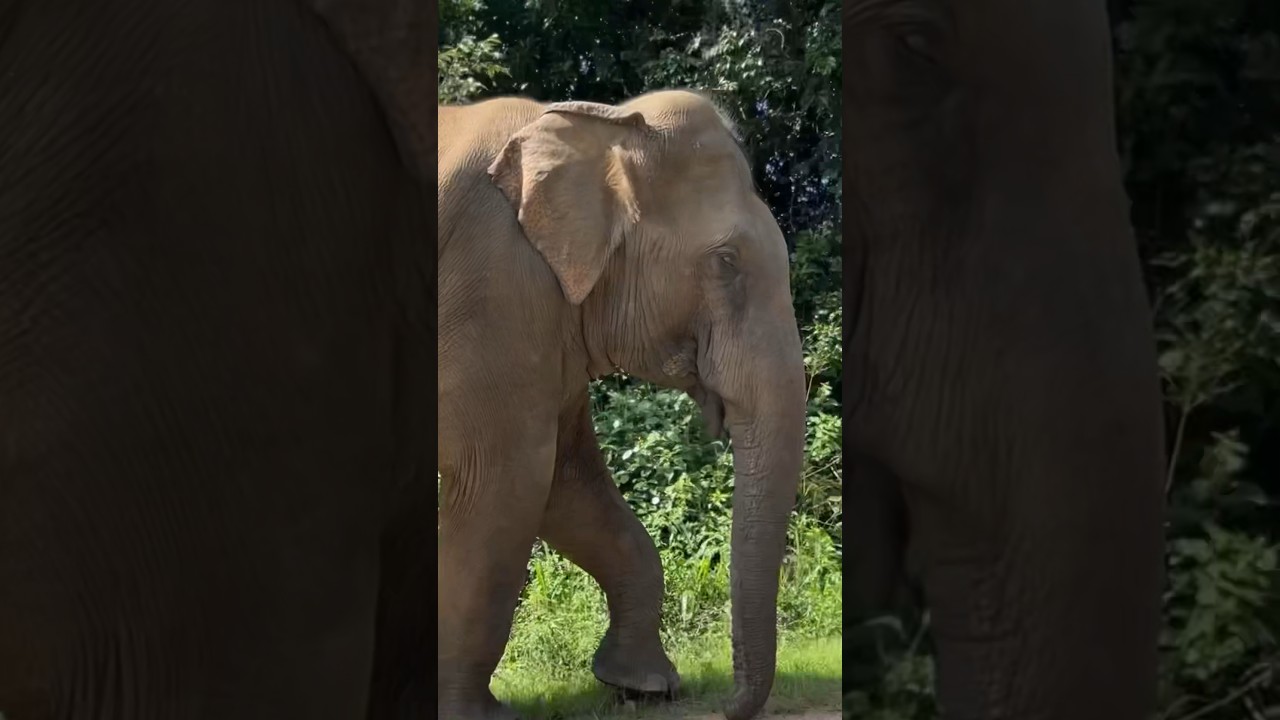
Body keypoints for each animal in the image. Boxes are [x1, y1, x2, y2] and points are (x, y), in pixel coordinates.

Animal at [437, 91, 807, 720]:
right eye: (726, 262)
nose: (725, 705)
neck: (605, 124)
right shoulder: (495, 283)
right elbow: (504, 482)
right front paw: (474, 716)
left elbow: (568, 485)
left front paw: (644, 687)